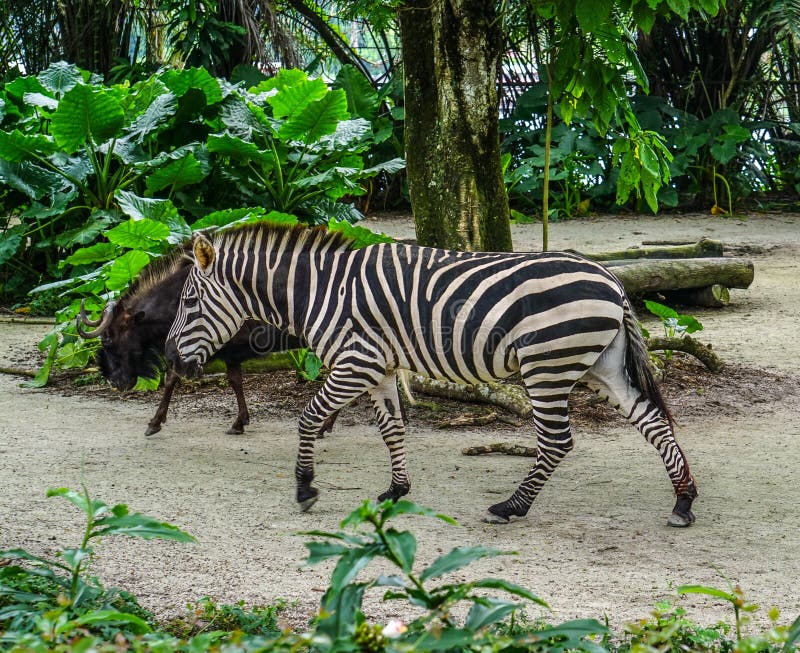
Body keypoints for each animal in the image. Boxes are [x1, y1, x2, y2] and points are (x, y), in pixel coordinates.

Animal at [165, 223, 698, 527]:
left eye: (188, 302)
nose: (170, 359)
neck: (321, 291)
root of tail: (612, 279)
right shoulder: (379, 366)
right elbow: (392, 429)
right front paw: (396, 491)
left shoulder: (355, 361)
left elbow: (309, 418)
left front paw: (305, 488)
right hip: (600, 364)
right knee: (653, 421)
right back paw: (683, 501)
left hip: (547, 365)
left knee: (556, 442)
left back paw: (511, 507)